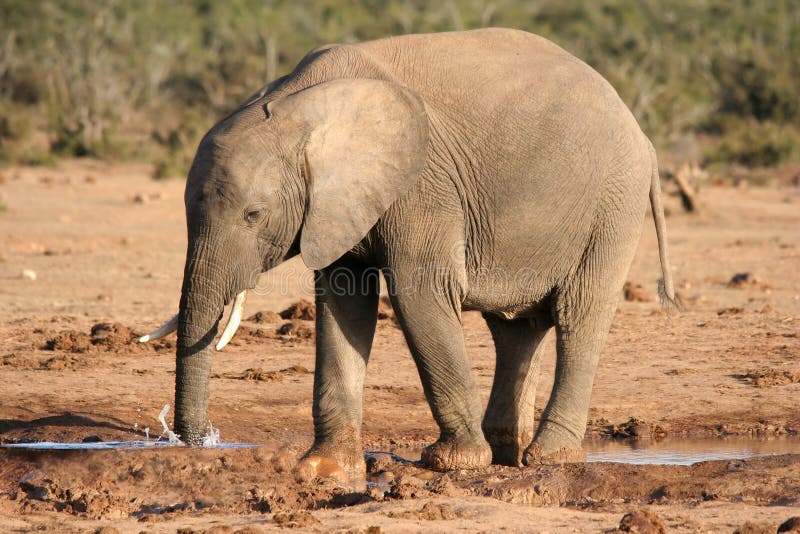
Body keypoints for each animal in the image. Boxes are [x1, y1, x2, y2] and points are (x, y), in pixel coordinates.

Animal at [140, 28, 678, 483]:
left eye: (253, 215)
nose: (195, 442)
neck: (303, 104)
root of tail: (645, 137)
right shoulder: (339, 205)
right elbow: (343, 305)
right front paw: (322, 470)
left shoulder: (420, 186)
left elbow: (420, 295)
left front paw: (454, 464)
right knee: (516, 330)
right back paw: (507, 450)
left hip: (612, 205)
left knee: (578, 317)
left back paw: (549, 458)